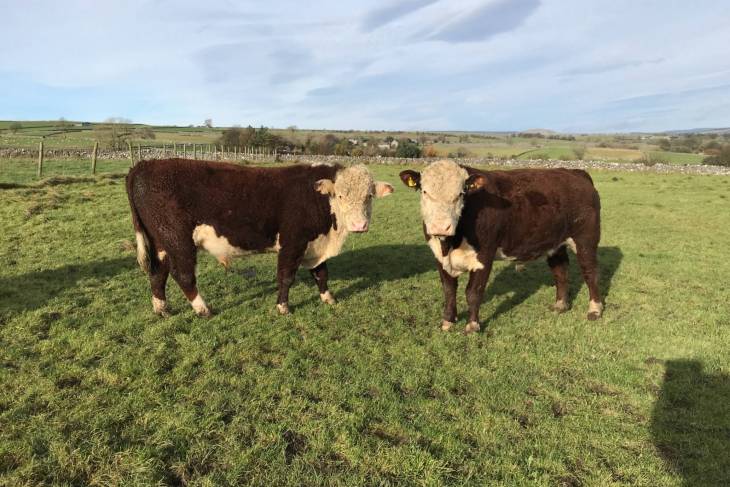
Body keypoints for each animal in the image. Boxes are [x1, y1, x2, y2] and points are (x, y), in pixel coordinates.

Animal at [126, 158, 393, 317]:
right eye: (340, 196)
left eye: (369, 196)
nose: (360, 225)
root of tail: (145, 164)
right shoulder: (292, 243)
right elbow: (286, 277)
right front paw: (283, 307)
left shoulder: (315, 245)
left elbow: (321, 273)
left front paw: (328, 298)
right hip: (178, 240)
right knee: (183, 275)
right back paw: (203, 309)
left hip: (161, 242)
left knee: (158, 273)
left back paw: (162, 308)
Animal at [399, 159, 602, 334]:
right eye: (424, 192)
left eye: (460, 194)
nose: (441, 226)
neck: (450, 243)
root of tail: (576, 172)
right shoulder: (440, 258)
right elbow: (449, 290)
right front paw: (448, 321)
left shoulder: (484, 255)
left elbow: (473, 292)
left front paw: (472, 325)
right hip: (555, 243)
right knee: (560, 271)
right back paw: (561, 305)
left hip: (586, 239)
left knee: (590, 272)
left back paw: (594, 309)